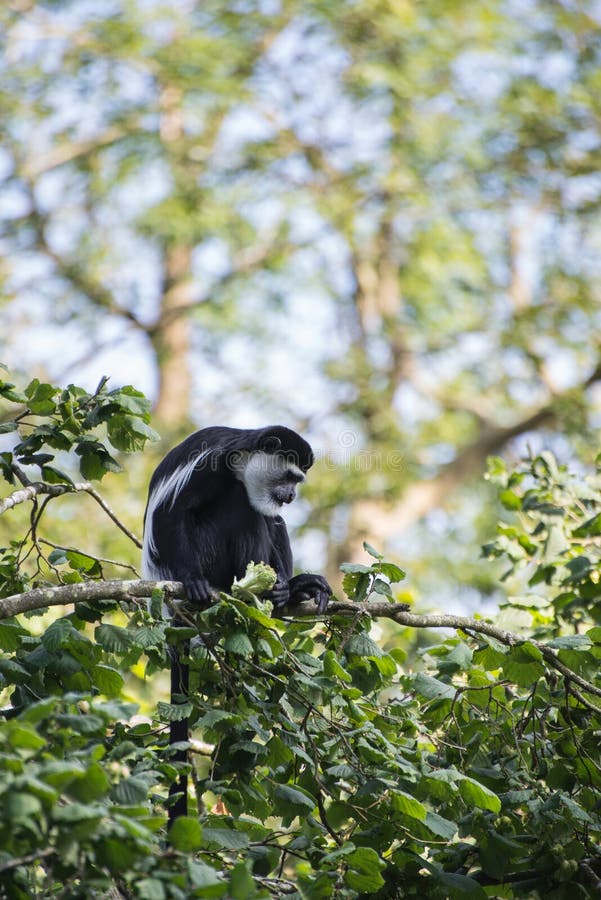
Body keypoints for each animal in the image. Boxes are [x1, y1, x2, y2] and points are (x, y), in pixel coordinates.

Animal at [141, 425, 332, 821]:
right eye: (290, 477)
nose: (291, 497)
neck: (241, 462)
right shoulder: (210, 467)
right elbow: (174, 513)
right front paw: (193, 580)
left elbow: (276, 522)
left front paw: (289, 587)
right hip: (209, 552)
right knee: (243, 510)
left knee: (270, 520)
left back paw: (286, 590)